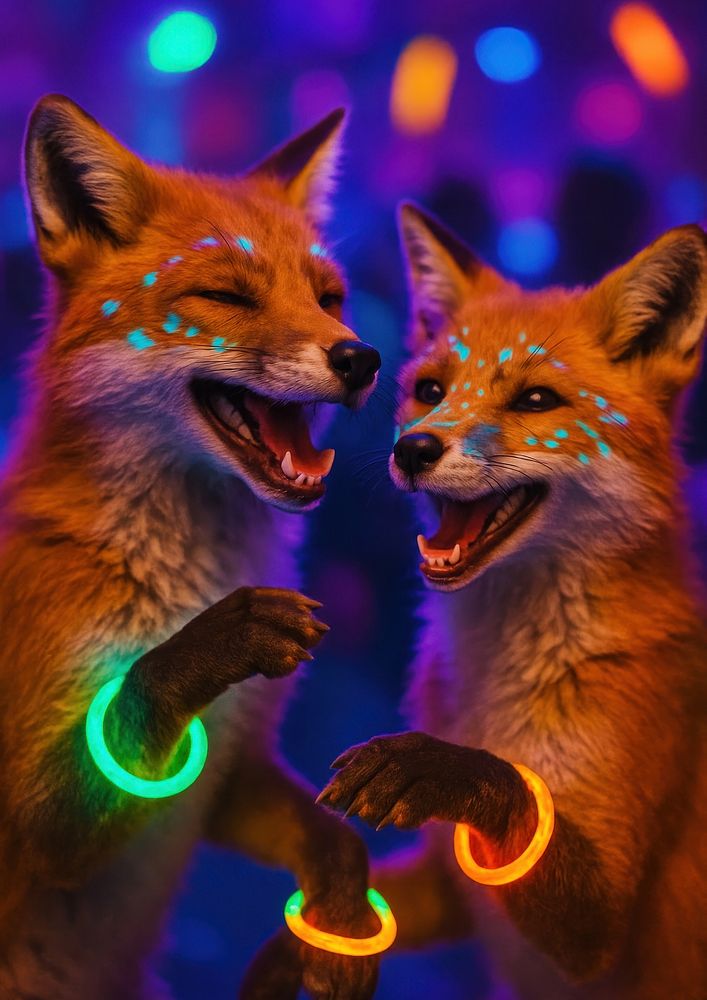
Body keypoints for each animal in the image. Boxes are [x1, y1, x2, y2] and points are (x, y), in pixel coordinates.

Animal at [0, 95, 383, 1000]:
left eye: (329, 298)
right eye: (223, 295)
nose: (361, 357)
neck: (187, 581)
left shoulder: (231, 776)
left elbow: (336, 835)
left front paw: (340, 925)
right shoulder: (36, 827)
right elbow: (144, 684)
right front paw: (226, 634)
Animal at [320, 203, 707, 999]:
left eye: (535, 400)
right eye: (430, 392)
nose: (413, 450)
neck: (494, 696)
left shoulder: (603, 929)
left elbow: (507, 790)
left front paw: (437, 765)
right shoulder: (451, 883)